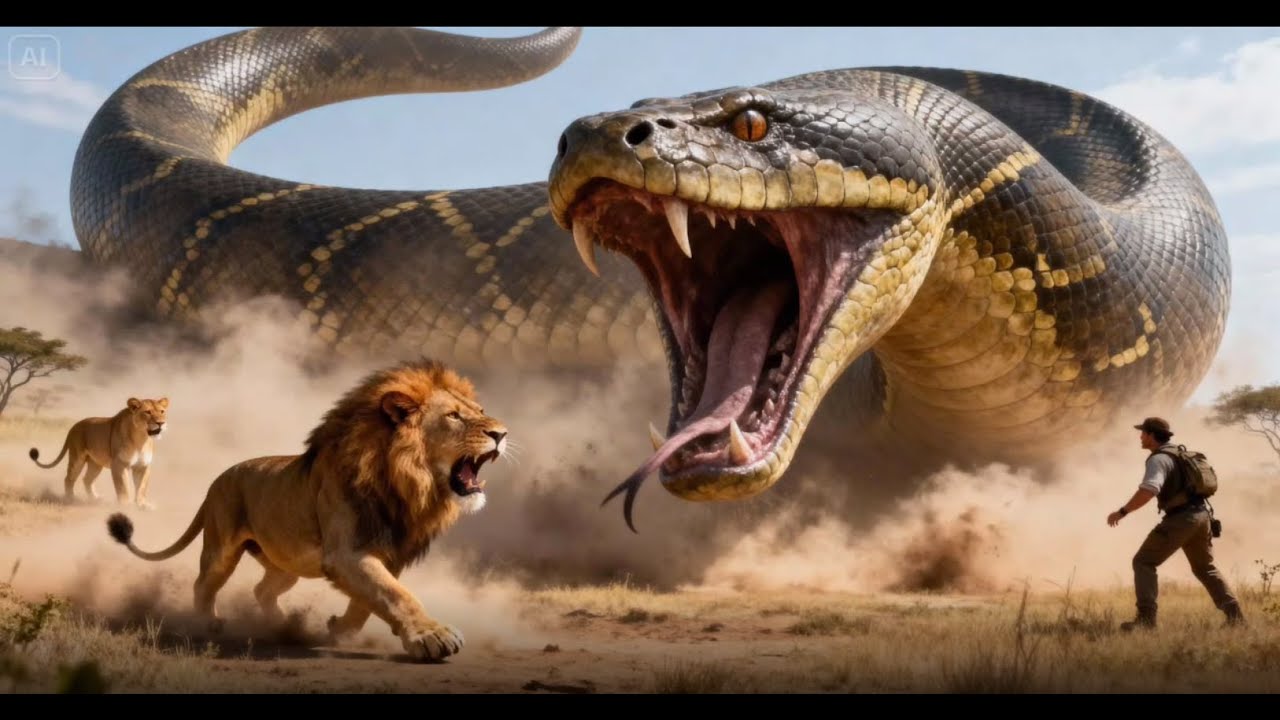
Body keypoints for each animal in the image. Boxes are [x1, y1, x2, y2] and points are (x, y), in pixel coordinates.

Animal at [30, 397, 169, 508]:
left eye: (162, 411)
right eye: (148, 412)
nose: (161, 423)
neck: (141, 438)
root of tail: (74, 426)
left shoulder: (143, 466)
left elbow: (142, 488)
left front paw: (143, 505)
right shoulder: (119, 465)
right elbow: (123, 487)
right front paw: (125, 506)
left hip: (95, 464)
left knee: (87, 480)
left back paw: (95, 499)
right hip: (77, 458)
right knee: (69, 479)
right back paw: (70, 499)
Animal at [105, 358, 508, 662]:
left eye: (481, 412)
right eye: (454, 416)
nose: (502, 433)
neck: (404, 482)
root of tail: (218, 479)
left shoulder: (384, 553)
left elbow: (371, 598)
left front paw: (339, 629)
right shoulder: (346, 553)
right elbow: (395, 594)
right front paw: (432, 637)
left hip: (287, 565)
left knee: (262, 590)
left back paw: (282, 625)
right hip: (221, 549)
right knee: (202, 584)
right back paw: (207, 623)